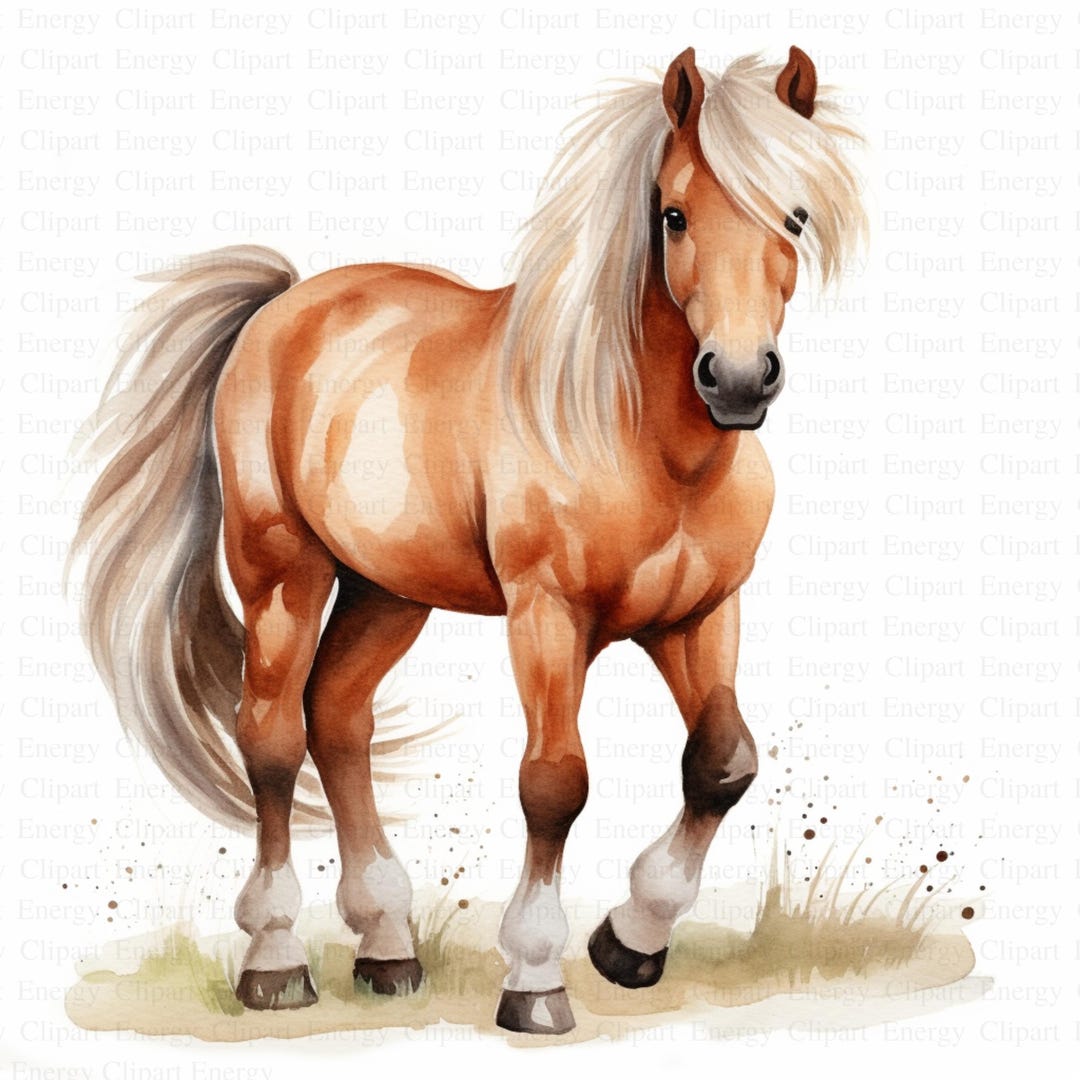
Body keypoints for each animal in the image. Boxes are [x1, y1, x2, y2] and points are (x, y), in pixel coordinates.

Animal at [72, 47, 865, 1035]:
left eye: (796, 215)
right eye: (675, 214)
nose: (741, 377)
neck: (644, 440)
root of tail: (284, 305)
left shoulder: (700, 614)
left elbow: (722, 763)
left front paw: (631, 941)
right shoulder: (547, 616)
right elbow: (555, 784)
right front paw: (535, 977)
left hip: (388, 591)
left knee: (337, 716)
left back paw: (387, 946)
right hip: (281, 572)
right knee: (271, 737)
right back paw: (276, 960)